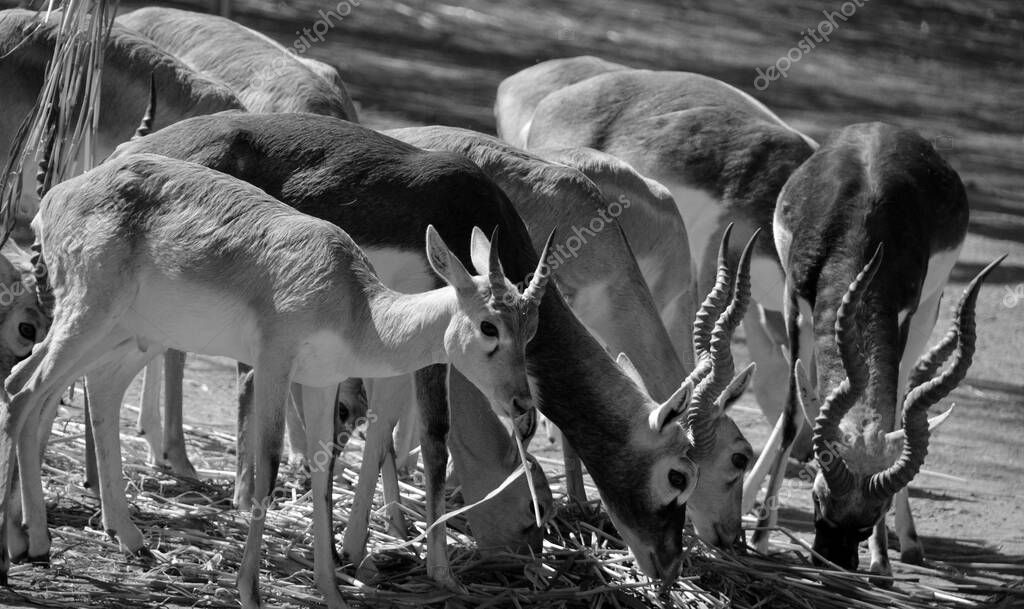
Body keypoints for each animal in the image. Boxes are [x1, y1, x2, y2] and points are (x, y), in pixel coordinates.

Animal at [0, 152, 551, 608]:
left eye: (530, 330)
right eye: (489, 327)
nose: (522, 404)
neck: (356, 306)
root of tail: (56, 198)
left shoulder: (322, 382)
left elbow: (323, 477)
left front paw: (332, 591)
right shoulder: (272, 364)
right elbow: (266, 468)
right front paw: (251, 592)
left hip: (126, 333)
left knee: (81, 392)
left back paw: (102, 541)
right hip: (91, 316)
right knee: (23, 389)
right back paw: (23, 548)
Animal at [112, 111, 752, 581]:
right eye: (682, 474)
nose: (671, 565)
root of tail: (132, 151)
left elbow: (384, 429)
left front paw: (358, 549)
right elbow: (435, 440)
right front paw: (437, 569)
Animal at [772, 122, 999, 576]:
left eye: (870, 517)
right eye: (818, 498)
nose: (833, 564)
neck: (859, 228)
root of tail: (880, 127)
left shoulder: (905, 316)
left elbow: (894, 413)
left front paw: (880, 561)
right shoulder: (794, 302)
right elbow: (791, 413)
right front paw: (751, 535)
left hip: (930, 312)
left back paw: (908, 546)